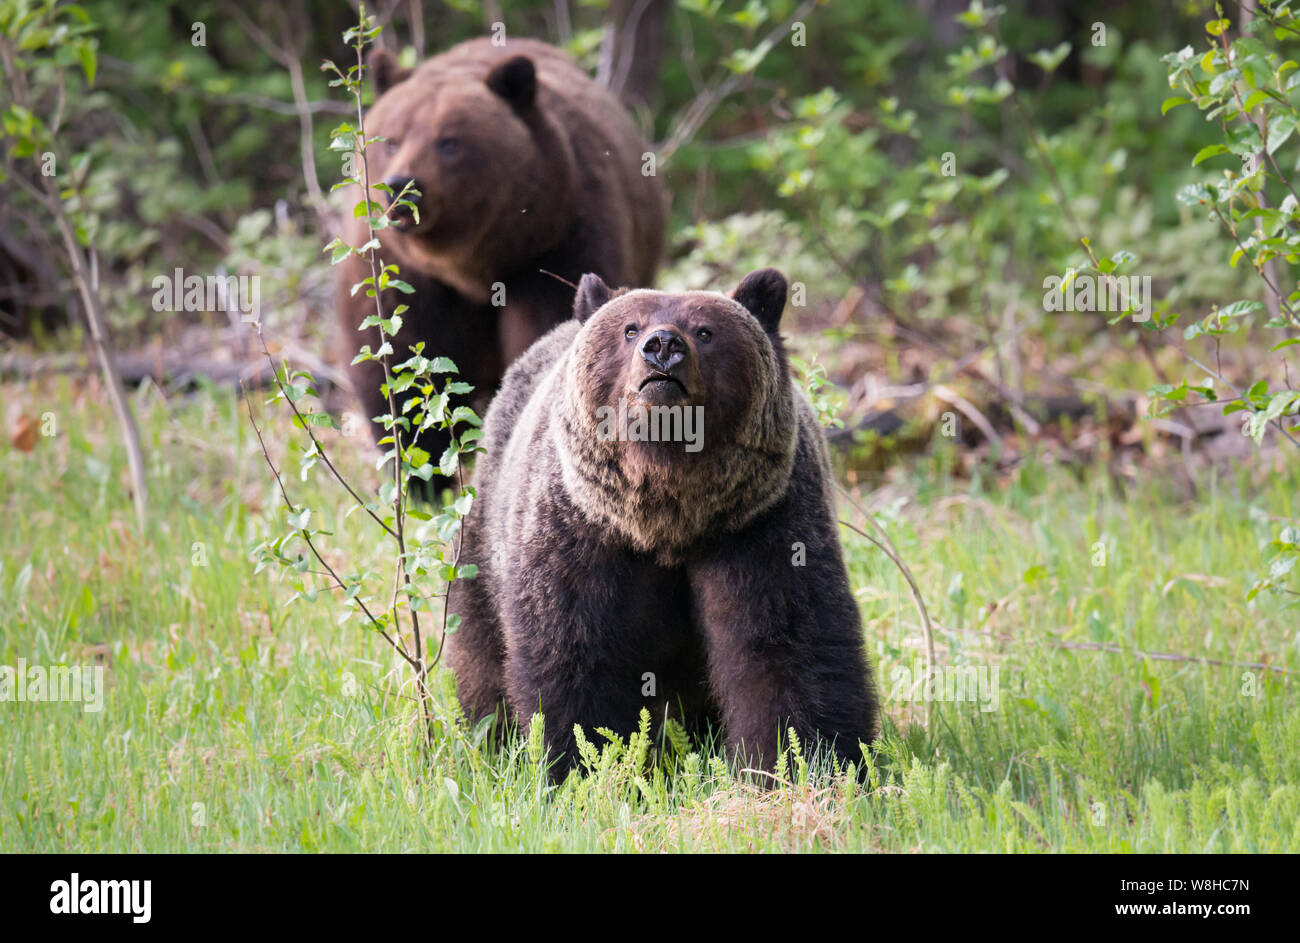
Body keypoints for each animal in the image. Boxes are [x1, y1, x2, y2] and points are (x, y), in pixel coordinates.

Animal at [336, 38, 666, 491]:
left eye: (449, 141)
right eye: (392, 139)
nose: (402, 187)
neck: (469, 264)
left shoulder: (556, 245)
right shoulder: (400, 273)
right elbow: (398, 364)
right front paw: (424, 479)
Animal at [446, 268, 879, 776]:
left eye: (705, 331)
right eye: (630, 328)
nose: (663, 346)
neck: (669, 515)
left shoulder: (762, 524)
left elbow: (790, 644)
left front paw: (808, 763)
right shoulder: (582, 530)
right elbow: (573, 651)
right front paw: (579, 763)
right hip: (484, 529)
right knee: (478, 643)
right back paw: (489, 735)